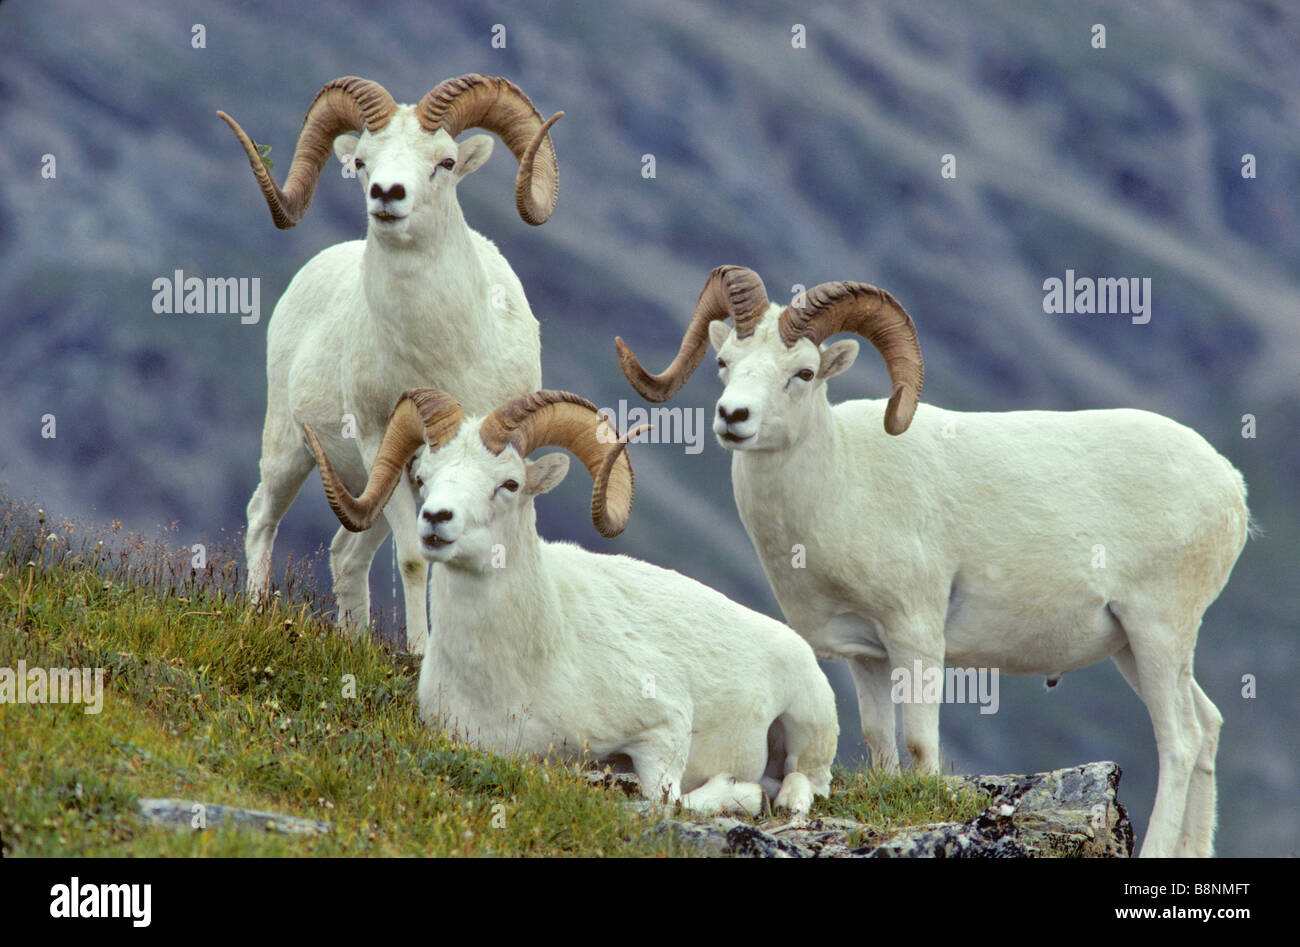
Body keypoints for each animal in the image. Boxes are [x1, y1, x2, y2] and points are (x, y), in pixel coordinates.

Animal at [218, 75, 562, 652]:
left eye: (445, 161)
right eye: (362, 162)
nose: (387, 194)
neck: (440, 354)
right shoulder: (388, 446)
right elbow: (417, 559)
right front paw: (420, 652)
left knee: (345, 553)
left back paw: (352, 639)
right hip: (291, 450)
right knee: (262, 517)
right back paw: (256, 613)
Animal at [300, 387, 839, 817]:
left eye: (509, 484)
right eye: (423, 478)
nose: (435, 519)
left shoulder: (663, 729)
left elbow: (666, 799)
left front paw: (737, 791)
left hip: (808, 720)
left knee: (807, 780)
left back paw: (782, 800)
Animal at [613, 265, 1250, 856]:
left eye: (804, 373)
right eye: (725, 361)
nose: (733, 417)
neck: (842, 487)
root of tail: (1230, 486)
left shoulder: (917, 637)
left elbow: (920, 743)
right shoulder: (865, 654)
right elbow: (880, 742)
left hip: (1158, 630)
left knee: (1181, 741)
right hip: (1133, 649)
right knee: (1210, 728)